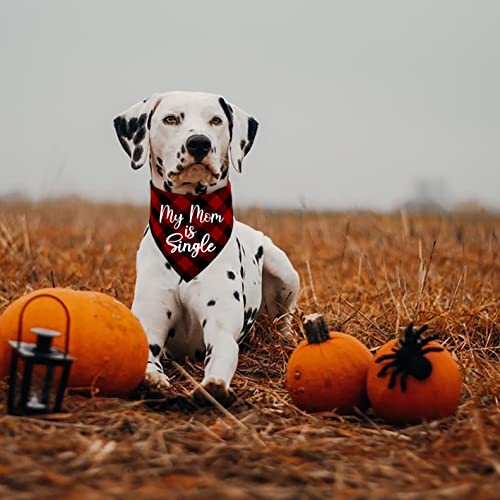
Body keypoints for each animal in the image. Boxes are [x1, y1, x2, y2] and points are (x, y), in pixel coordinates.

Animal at [114, 92, 300, 406]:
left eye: (216, 120)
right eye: (170, 119)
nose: (199, 142)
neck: (189, 224)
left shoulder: (221, 329)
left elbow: (222, 356)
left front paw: (214, 385)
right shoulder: (150, 326)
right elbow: (146, 357)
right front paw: (152, 379)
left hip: (285, 271)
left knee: (284, 318)